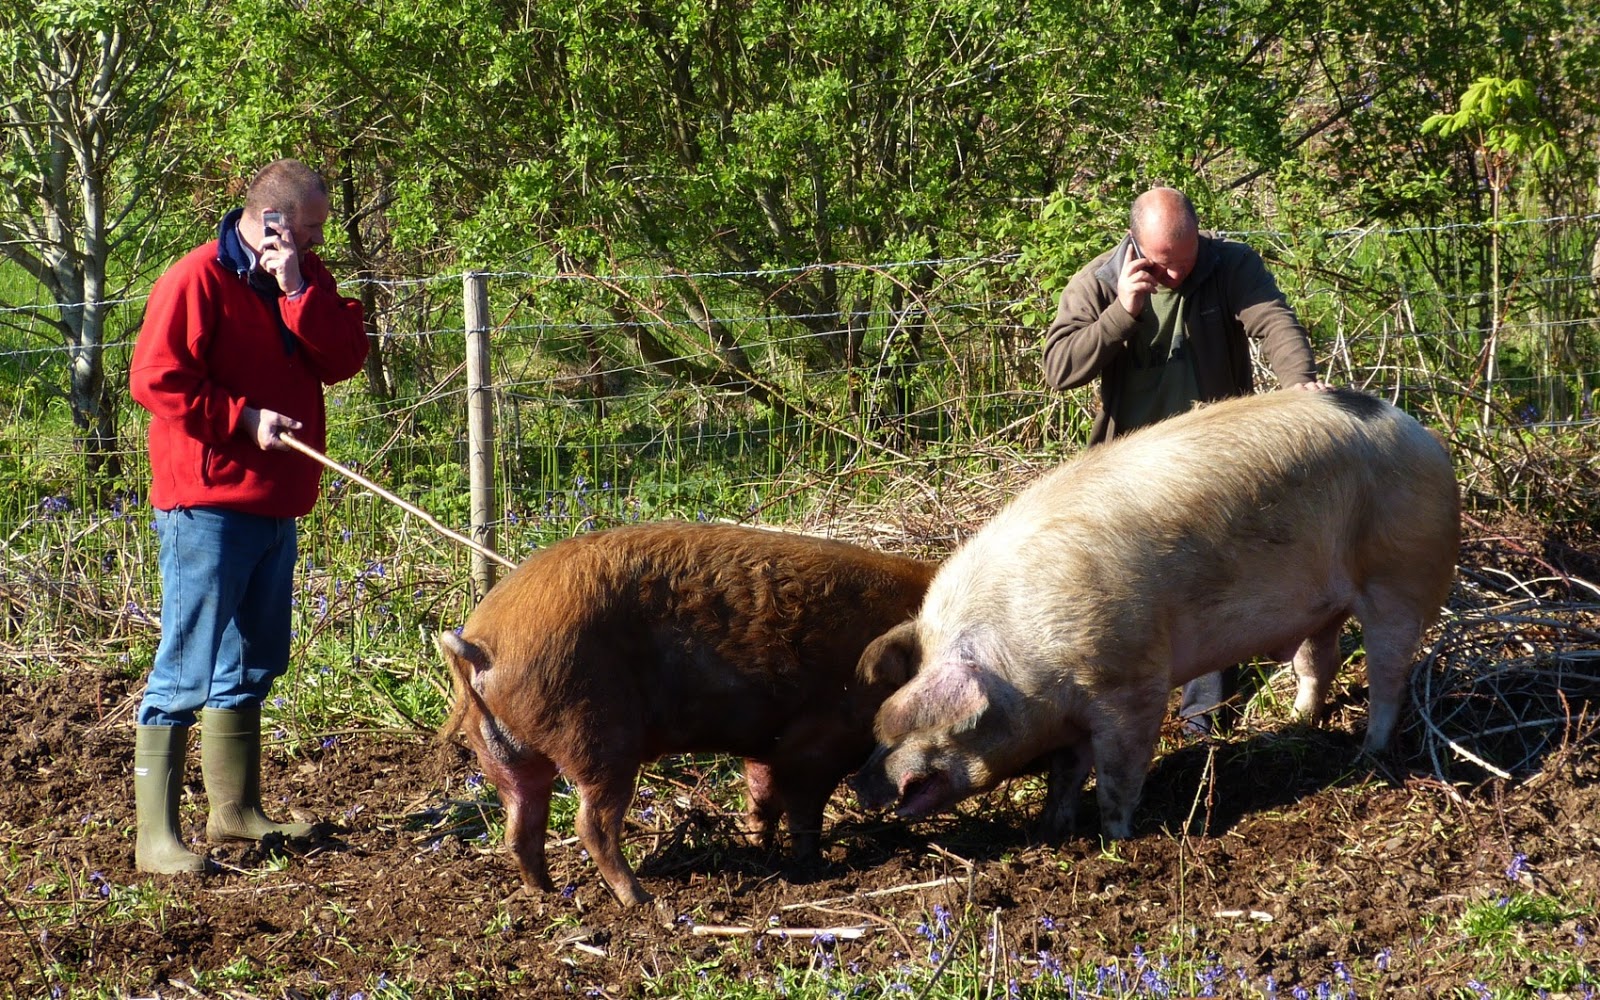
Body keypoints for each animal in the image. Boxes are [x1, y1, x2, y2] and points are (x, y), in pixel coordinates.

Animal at [436, 521, 936, 905]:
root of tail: (483, 643)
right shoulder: (818, 742)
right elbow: (803, 809)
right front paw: (813, 866)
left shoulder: (770, 745)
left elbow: (762, 794)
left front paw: (760, 847)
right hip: (598, 733)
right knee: (590, 824)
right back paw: (640, 899)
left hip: (502, 754)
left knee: (520, 823)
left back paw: (544, 892)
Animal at [851, 388, 1459, 841]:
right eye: (879, 727)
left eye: (908, 724)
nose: (858, 783)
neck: (1019, 667)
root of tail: (1422, 433)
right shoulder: (1070, 715)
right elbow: (1065, 774)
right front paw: (1052, 830)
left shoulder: (1130, 682)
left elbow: (1119, 771)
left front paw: (1115, 838)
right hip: (1325, 605)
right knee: (1320, 660)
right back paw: (1297, 723)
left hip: (1400, 576)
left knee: (1389, 674)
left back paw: (1367, 754)